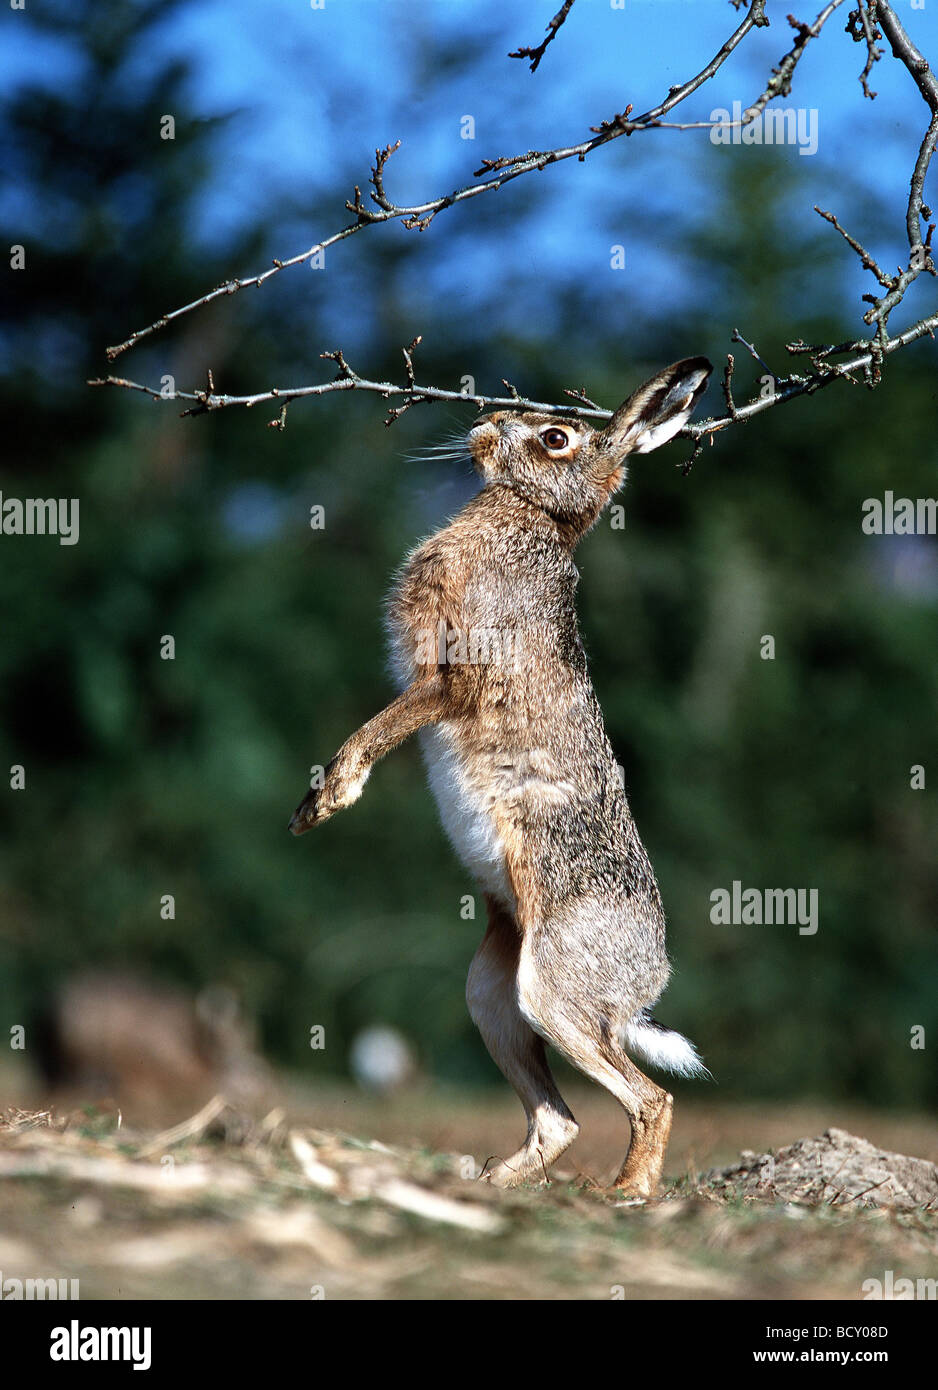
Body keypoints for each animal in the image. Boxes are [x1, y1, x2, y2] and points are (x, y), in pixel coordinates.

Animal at [290, 356, 713, 1194]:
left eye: (555, 438)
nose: (486, 422)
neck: (535, 518)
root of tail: (644, 985)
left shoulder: (453, 675)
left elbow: (388, 724)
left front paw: (328, 799)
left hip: (549, 989)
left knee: (651, 1100)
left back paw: (628, 1196)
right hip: (492, 995)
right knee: (559, 1119)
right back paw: (487, 1184)